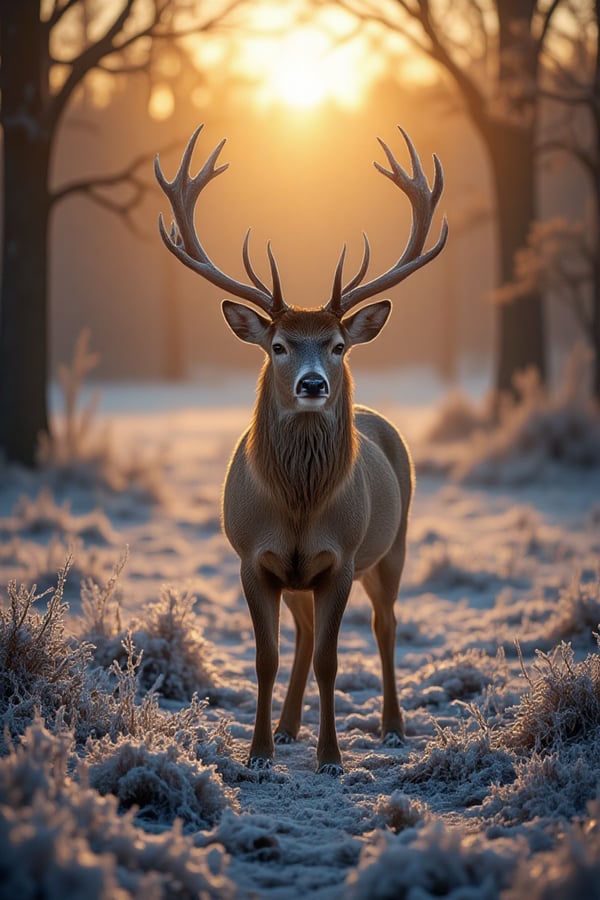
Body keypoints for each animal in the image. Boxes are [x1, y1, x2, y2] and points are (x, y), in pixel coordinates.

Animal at [155, 124, 447, 776]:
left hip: (394, 543)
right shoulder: (252, 557)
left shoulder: (341, 556)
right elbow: (266, 657)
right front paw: (260, 753)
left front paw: (332, 757)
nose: (313, 385)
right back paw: (289, 729)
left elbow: (333, 662)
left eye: (337, 344)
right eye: (279, 345)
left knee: (385, 625)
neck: (296, 506)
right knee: (308, 634)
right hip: (299, 579)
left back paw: (393, 727)